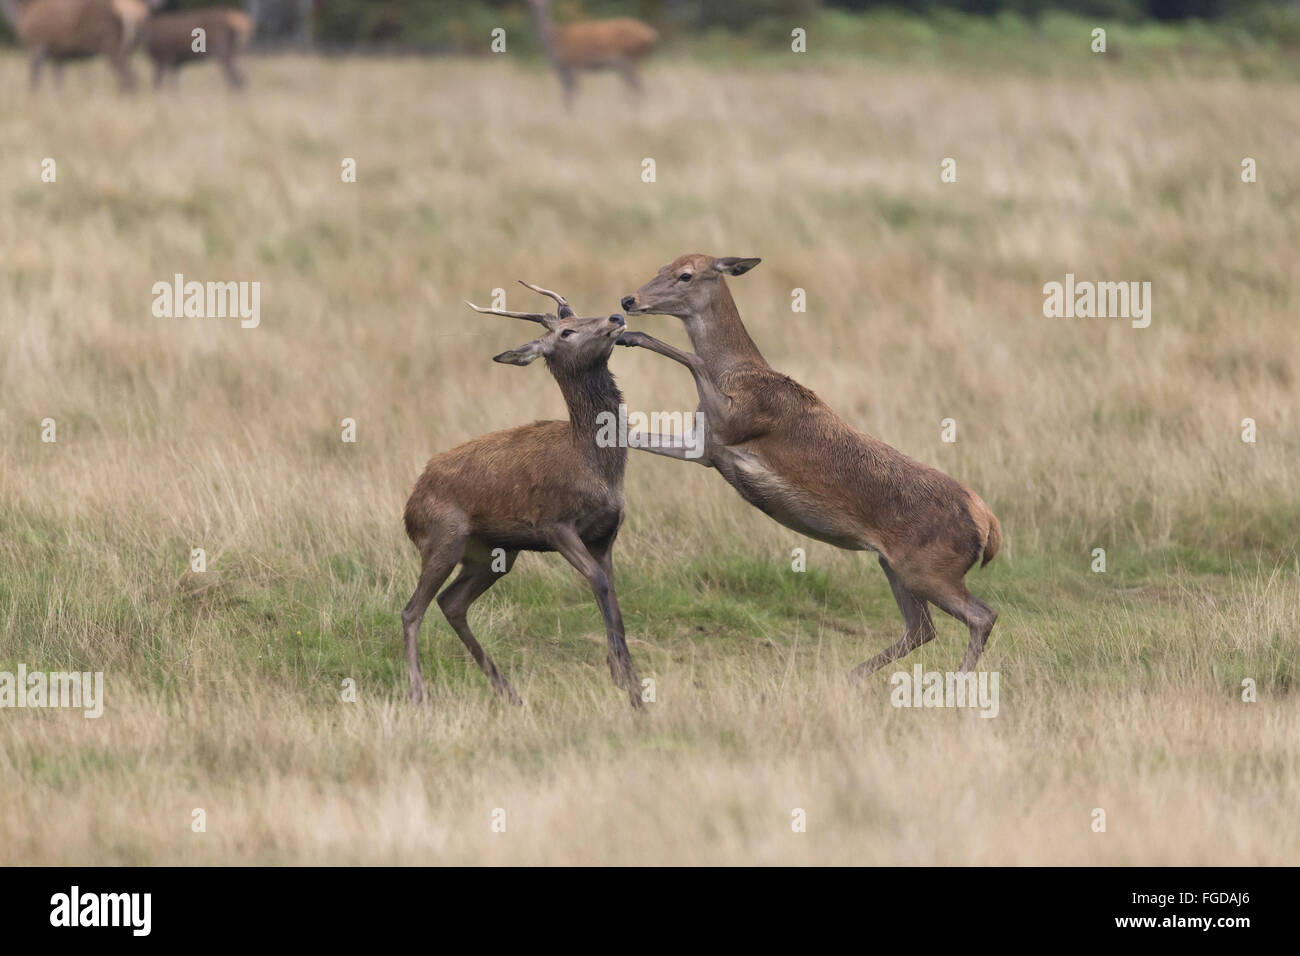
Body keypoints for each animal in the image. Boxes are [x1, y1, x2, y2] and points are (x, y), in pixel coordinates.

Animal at [1, 0, 161, 91]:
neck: (21, 12)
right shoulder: (58, 53)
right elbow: (58, 84)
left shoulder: (36, 43)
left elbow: (34, 81)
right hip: (129, 48)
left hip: (111, 44)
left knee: (130, 78)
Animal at [401, 282, 642, 708]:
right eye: (566, 331)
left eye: (583, 315)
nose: (616, 316)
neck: (596, 467)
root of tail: (409, 507)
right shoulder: (552, 523)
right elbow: (597, 581)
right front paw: (622, 678)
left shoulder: (606, 535)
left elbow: (612, 595)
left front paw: (631, 684)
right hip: (442, 538)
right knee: (412, 610)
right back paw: (418, 694)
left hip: (494, 554)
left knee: (451, 602)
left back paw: (507, 691)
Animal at [525, 0, 658, 109]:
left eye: (546, 2)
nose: (537, 5)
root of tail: (652, 35)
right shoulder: (561, 69)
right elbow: (567, 94)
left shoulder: (574, 64)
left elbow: (573, 93)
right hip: (632, 63)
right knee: (635, 87)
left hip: (628, 60)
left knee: (638, 87)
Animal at [618, 254, 1002, 678]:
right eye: (661, 267)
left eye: (686, 274)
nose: (629, 300)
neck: (739, 373)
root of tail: (989, 524)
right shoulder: (704, 447)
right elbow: (633, 435)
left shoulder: (738, 420)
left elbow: (695, 361)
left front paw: (630, 337)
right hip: (894, 563)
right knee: (922, 627)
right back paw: (851, 677)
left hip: (928, 567)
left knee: (982, 614)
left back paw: (954, 681)